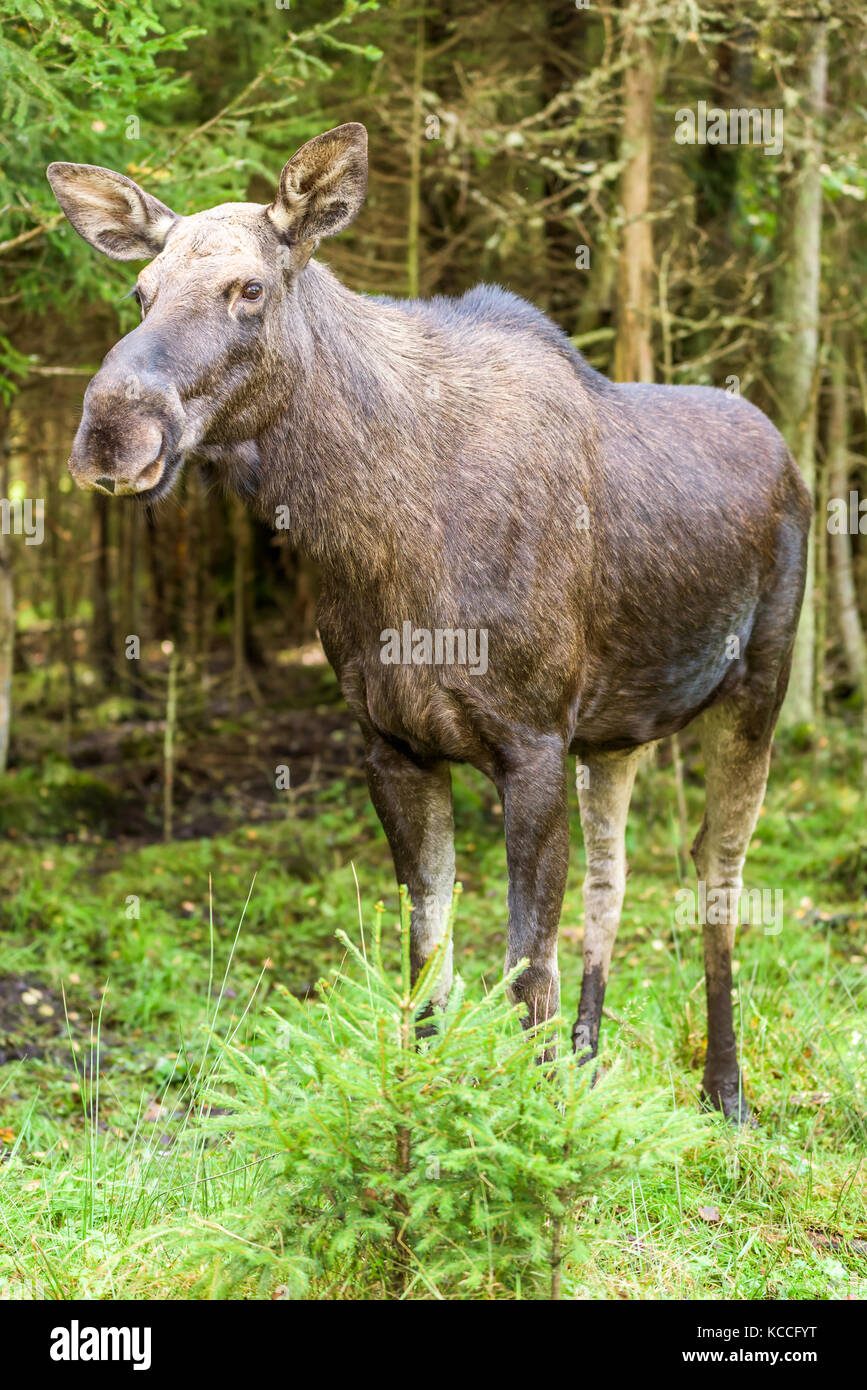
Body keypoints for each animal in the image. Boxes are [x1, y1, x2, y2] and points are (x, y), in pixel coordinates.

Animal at [47, 122, 811, 1121]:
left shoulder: (530, 742)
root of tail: (789, 455)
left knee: (717, 874)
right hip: (617, 732)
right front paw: (436, 1108)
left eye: (249, 288)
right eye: (139, 291)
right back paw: (594, 1063)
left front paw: (536, 1131)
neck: (376, 544)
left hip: (757, 685)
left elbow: (523, 968)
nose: (110, 431)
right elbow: (427, 961)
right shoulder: (392, 742)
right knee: (612, 879)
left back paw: (724, 1092)